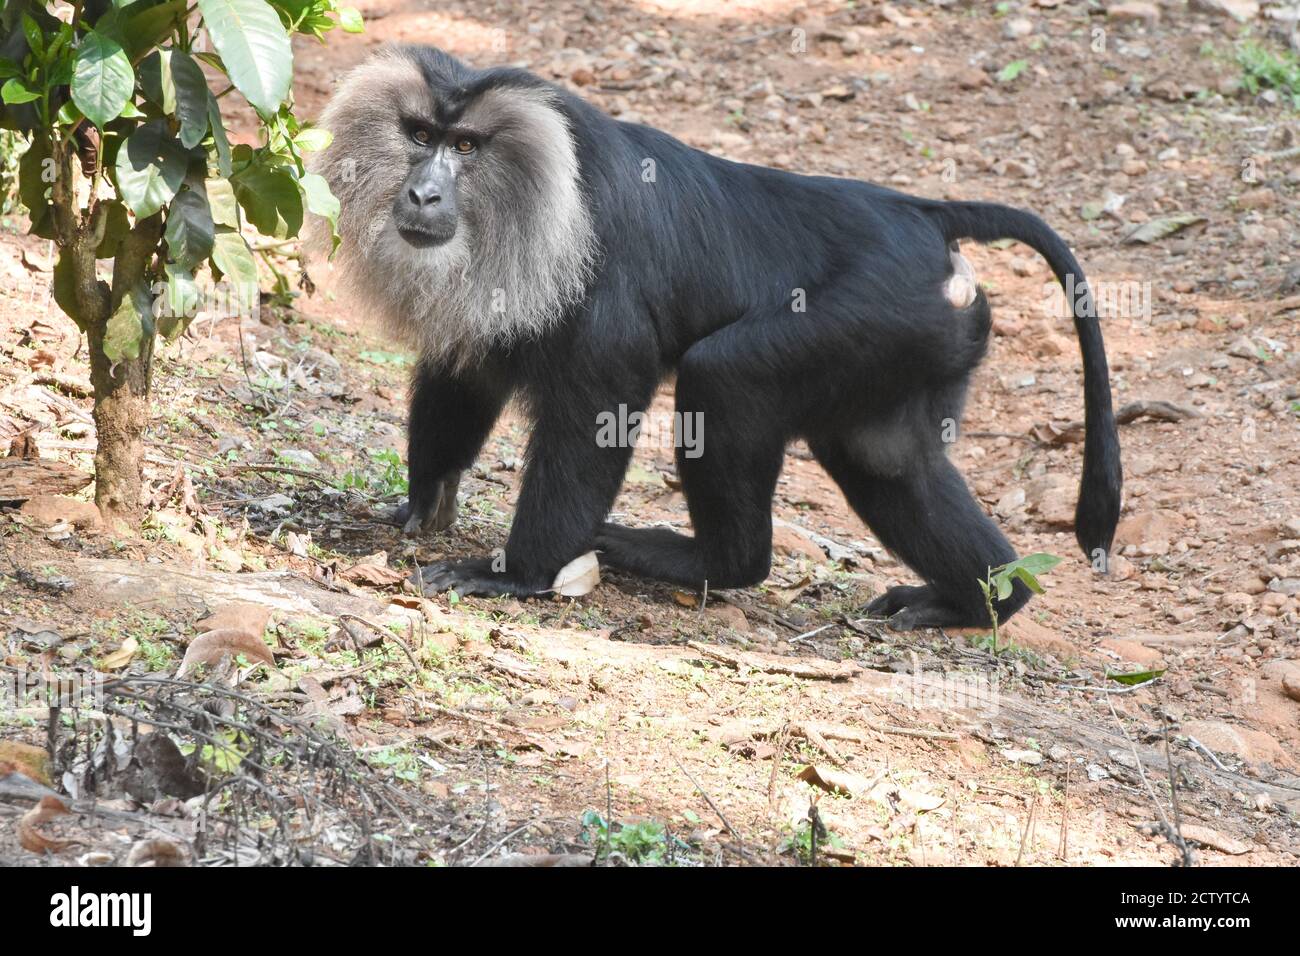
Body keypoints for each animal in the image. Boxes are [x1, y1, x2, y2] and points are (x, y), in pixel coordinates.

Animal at [314, 45, 1122, 630]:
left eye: (466, 147)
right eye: (420, 136)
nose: (423, 193)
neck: (541, 190)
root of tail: (921, 215)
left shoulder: (599, 292)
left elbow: (599, 413)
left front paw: (514, 575)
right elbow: (466, 380)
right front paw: (424, 502)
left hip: (874, 313)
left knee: (726, 378)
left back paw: (716, 565)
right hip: (919, 340)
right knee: (886, 456)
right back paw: (982, 601)